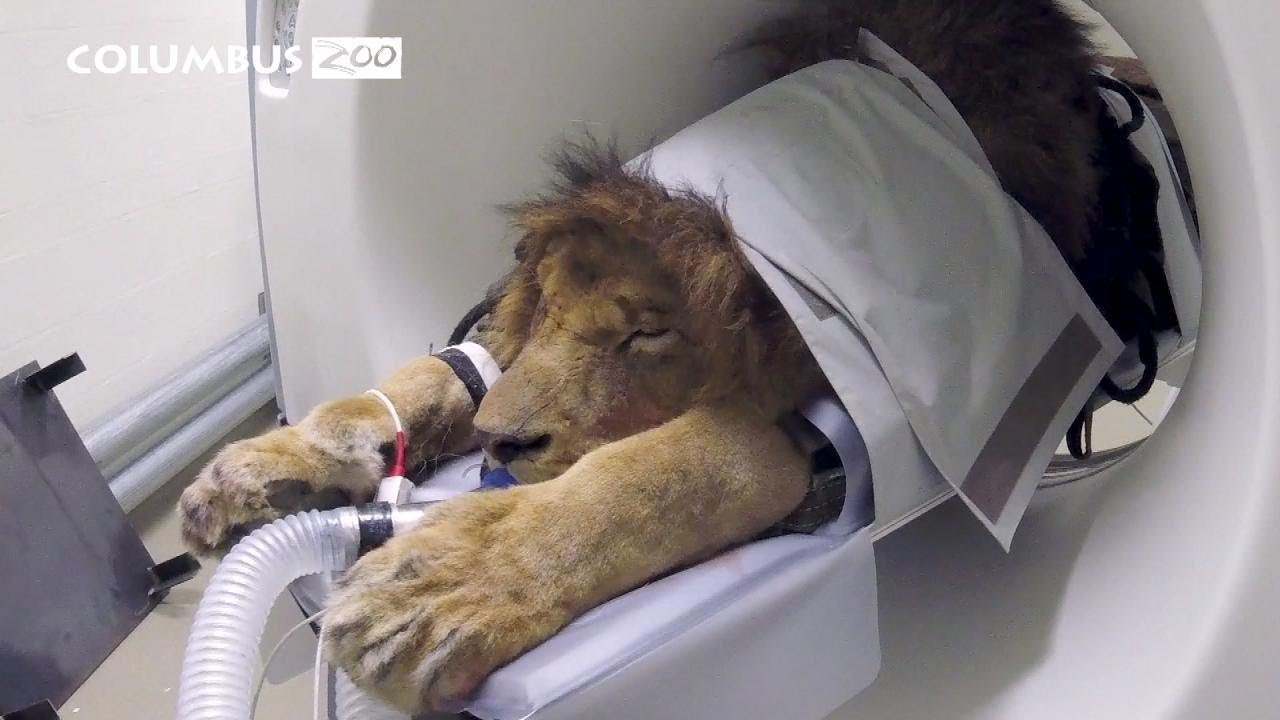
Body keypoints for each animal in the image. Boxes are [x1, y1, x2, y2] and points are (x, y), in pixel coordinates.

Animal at [179, 0, 1116, 712]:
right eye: (549, 311)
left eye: (648, 334)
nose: (500, 444)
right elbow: (433, 376)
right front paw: (269, 467)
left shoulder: (799, 422)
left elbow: (648, 477)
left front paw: (436, 588)